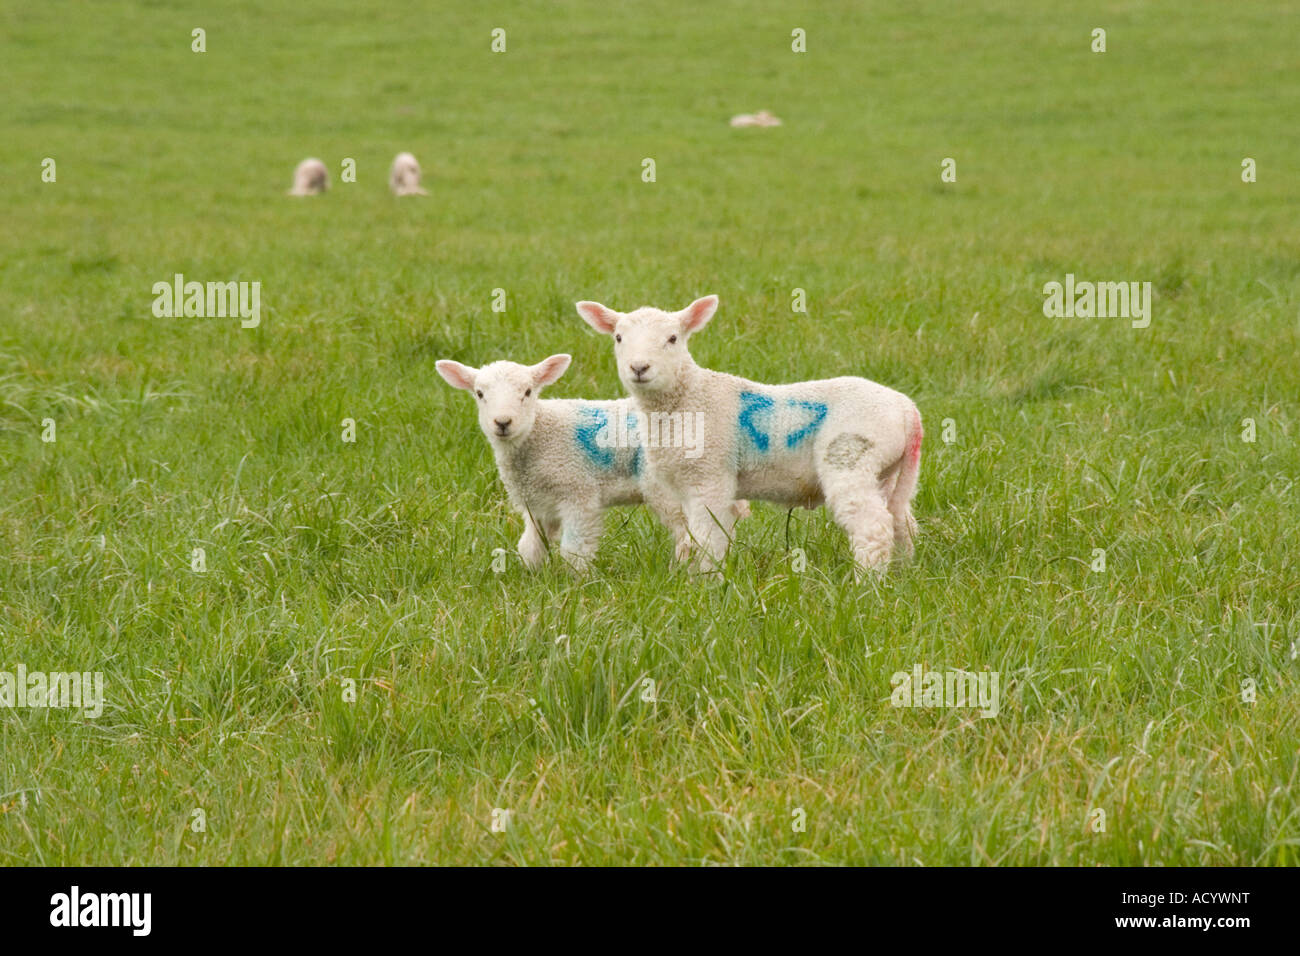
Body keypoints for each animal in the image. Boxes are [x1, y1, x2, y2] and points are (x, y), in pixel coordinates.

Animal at [435, 354, 748, 572]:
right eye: (479, 394)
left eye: (527, 392)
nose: (502, 423)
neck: (539, 434)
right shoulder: (537, 504)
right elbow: (531, 547)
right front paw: (532, 575)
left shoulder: (577, 491)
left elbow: (575, 549)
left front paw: (576, 583)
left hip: (673, 487)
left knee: (690, 535)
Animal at [575, 295, 922, 575]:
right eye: (619, 337)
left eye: (673, 338)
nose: (639, 367)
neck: (687, 398)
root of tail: (908, 409)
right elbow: (696, 536)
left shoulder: (710, 475)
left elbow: (708, 536)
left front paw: (707, 584)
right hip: (886, 471)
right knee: (900, 521)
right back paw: (904, 570)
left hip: (851, 456)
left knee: (873, 525)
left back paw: (867, 584)